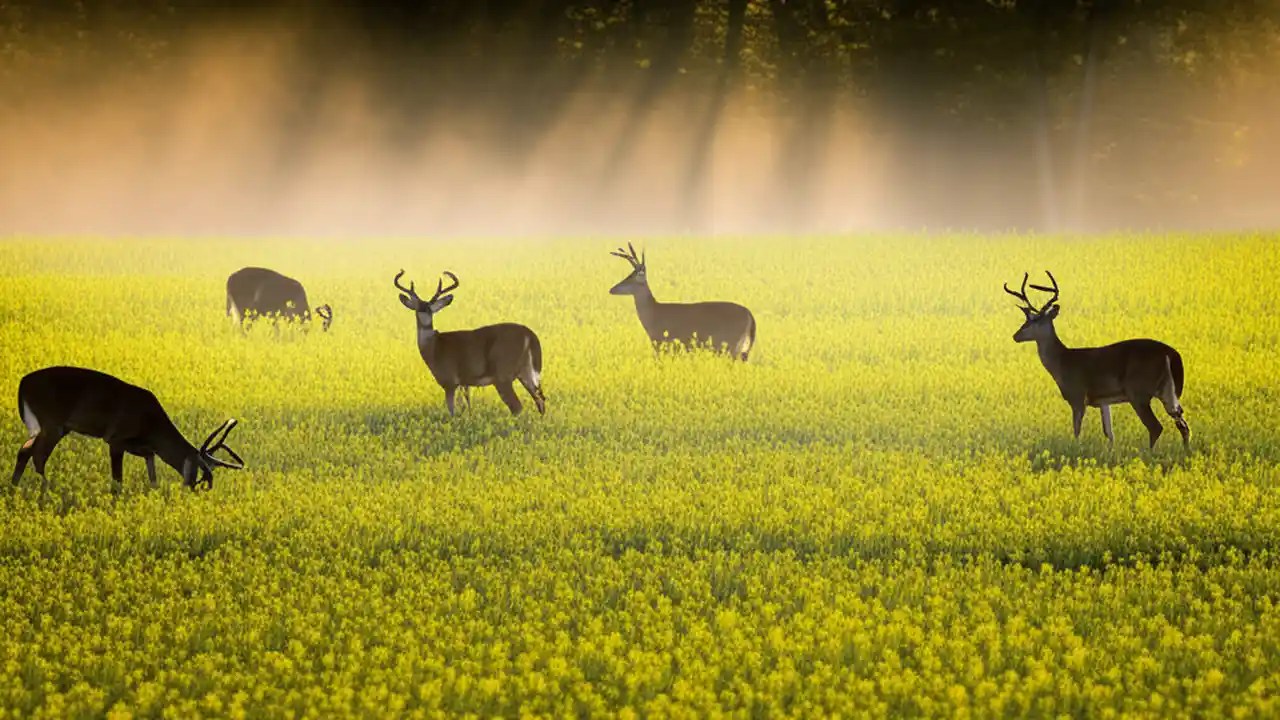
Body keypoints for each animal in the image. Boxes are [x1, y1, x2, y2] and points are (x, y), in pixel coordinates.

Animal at [12, 366, 245, 492]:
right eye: (200, 471)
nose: (192, 488)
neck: (153, 427)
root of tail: (22, 382)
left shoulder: (143, 448)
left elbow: (152, 477)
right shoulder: (115, 438)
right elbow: (117, 481)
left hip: (54, 427)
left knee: (24, 451)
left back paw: (14, 487)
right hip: (51, 423)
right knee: (37, 457)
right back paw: (47, 490)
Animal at [394, 270, 546, 417]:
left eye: (430, 309)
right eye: (417, 308)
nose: (424, 313)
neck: (435, 347)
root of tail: (529, 334)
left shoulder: (449, 380)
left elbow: (452, 411)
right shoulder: (463, 382)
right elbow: (464, 407)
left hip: (503, 373)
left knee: (518, 406)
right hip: (527, 371)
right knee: (540, 400)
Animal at [609, 243, 757, 360]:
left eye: (630, 278)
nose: (612, 289)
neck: (653, 313)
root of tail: (749, 314)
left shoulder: (661, 342)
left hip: (731, 345)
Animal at [1005, 271, 1190, 449]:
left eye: (1034, 319)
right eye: (1027, 319)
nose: (1015, 335)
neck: (1062, 362)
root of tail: (1170, 353)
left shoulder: (1077, 396)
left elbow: (1077, 432)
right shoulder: (1103, 401)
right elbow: (1109, 433)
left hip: (1139, 391)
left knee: (1156, 427)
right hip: (1167, 391)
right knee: (1183, 425)